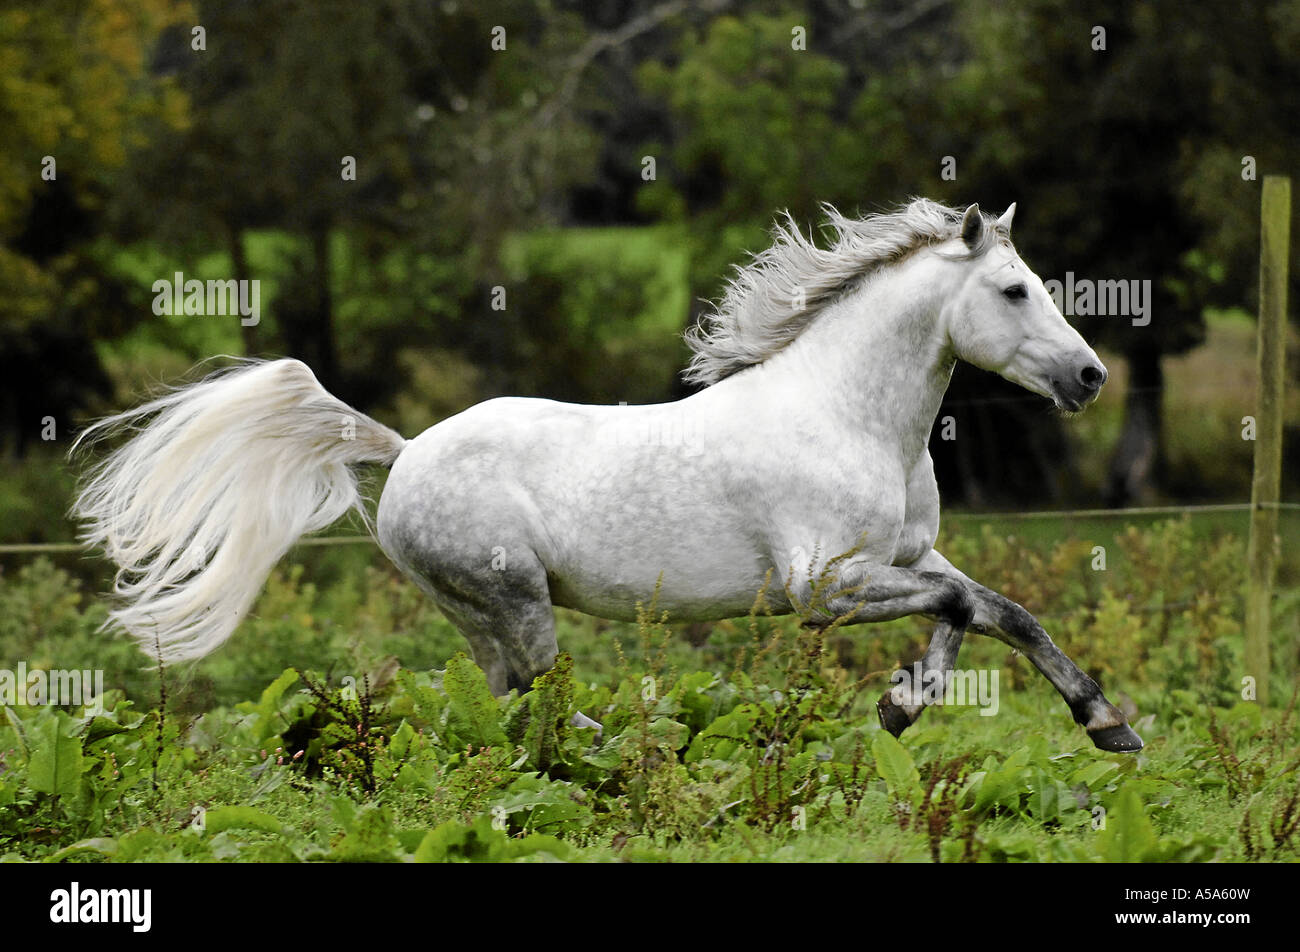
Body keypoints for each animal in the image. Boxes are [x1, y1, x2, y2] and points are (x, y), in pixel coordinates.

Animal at [71, 198, 1143, 753]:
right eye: (1014, 289)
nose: (1091, 377)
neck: (849, 416)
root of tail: (405, 450)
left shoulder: (910, 558)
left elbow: (997, 612)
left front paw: (1100, 724)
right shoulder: (821, 587)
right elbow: (968, 611)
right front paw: (904, 704)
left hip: (478, 613)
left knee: (506, 703)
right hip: (513, 594)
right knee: (540, 695)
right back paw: (632, 753)